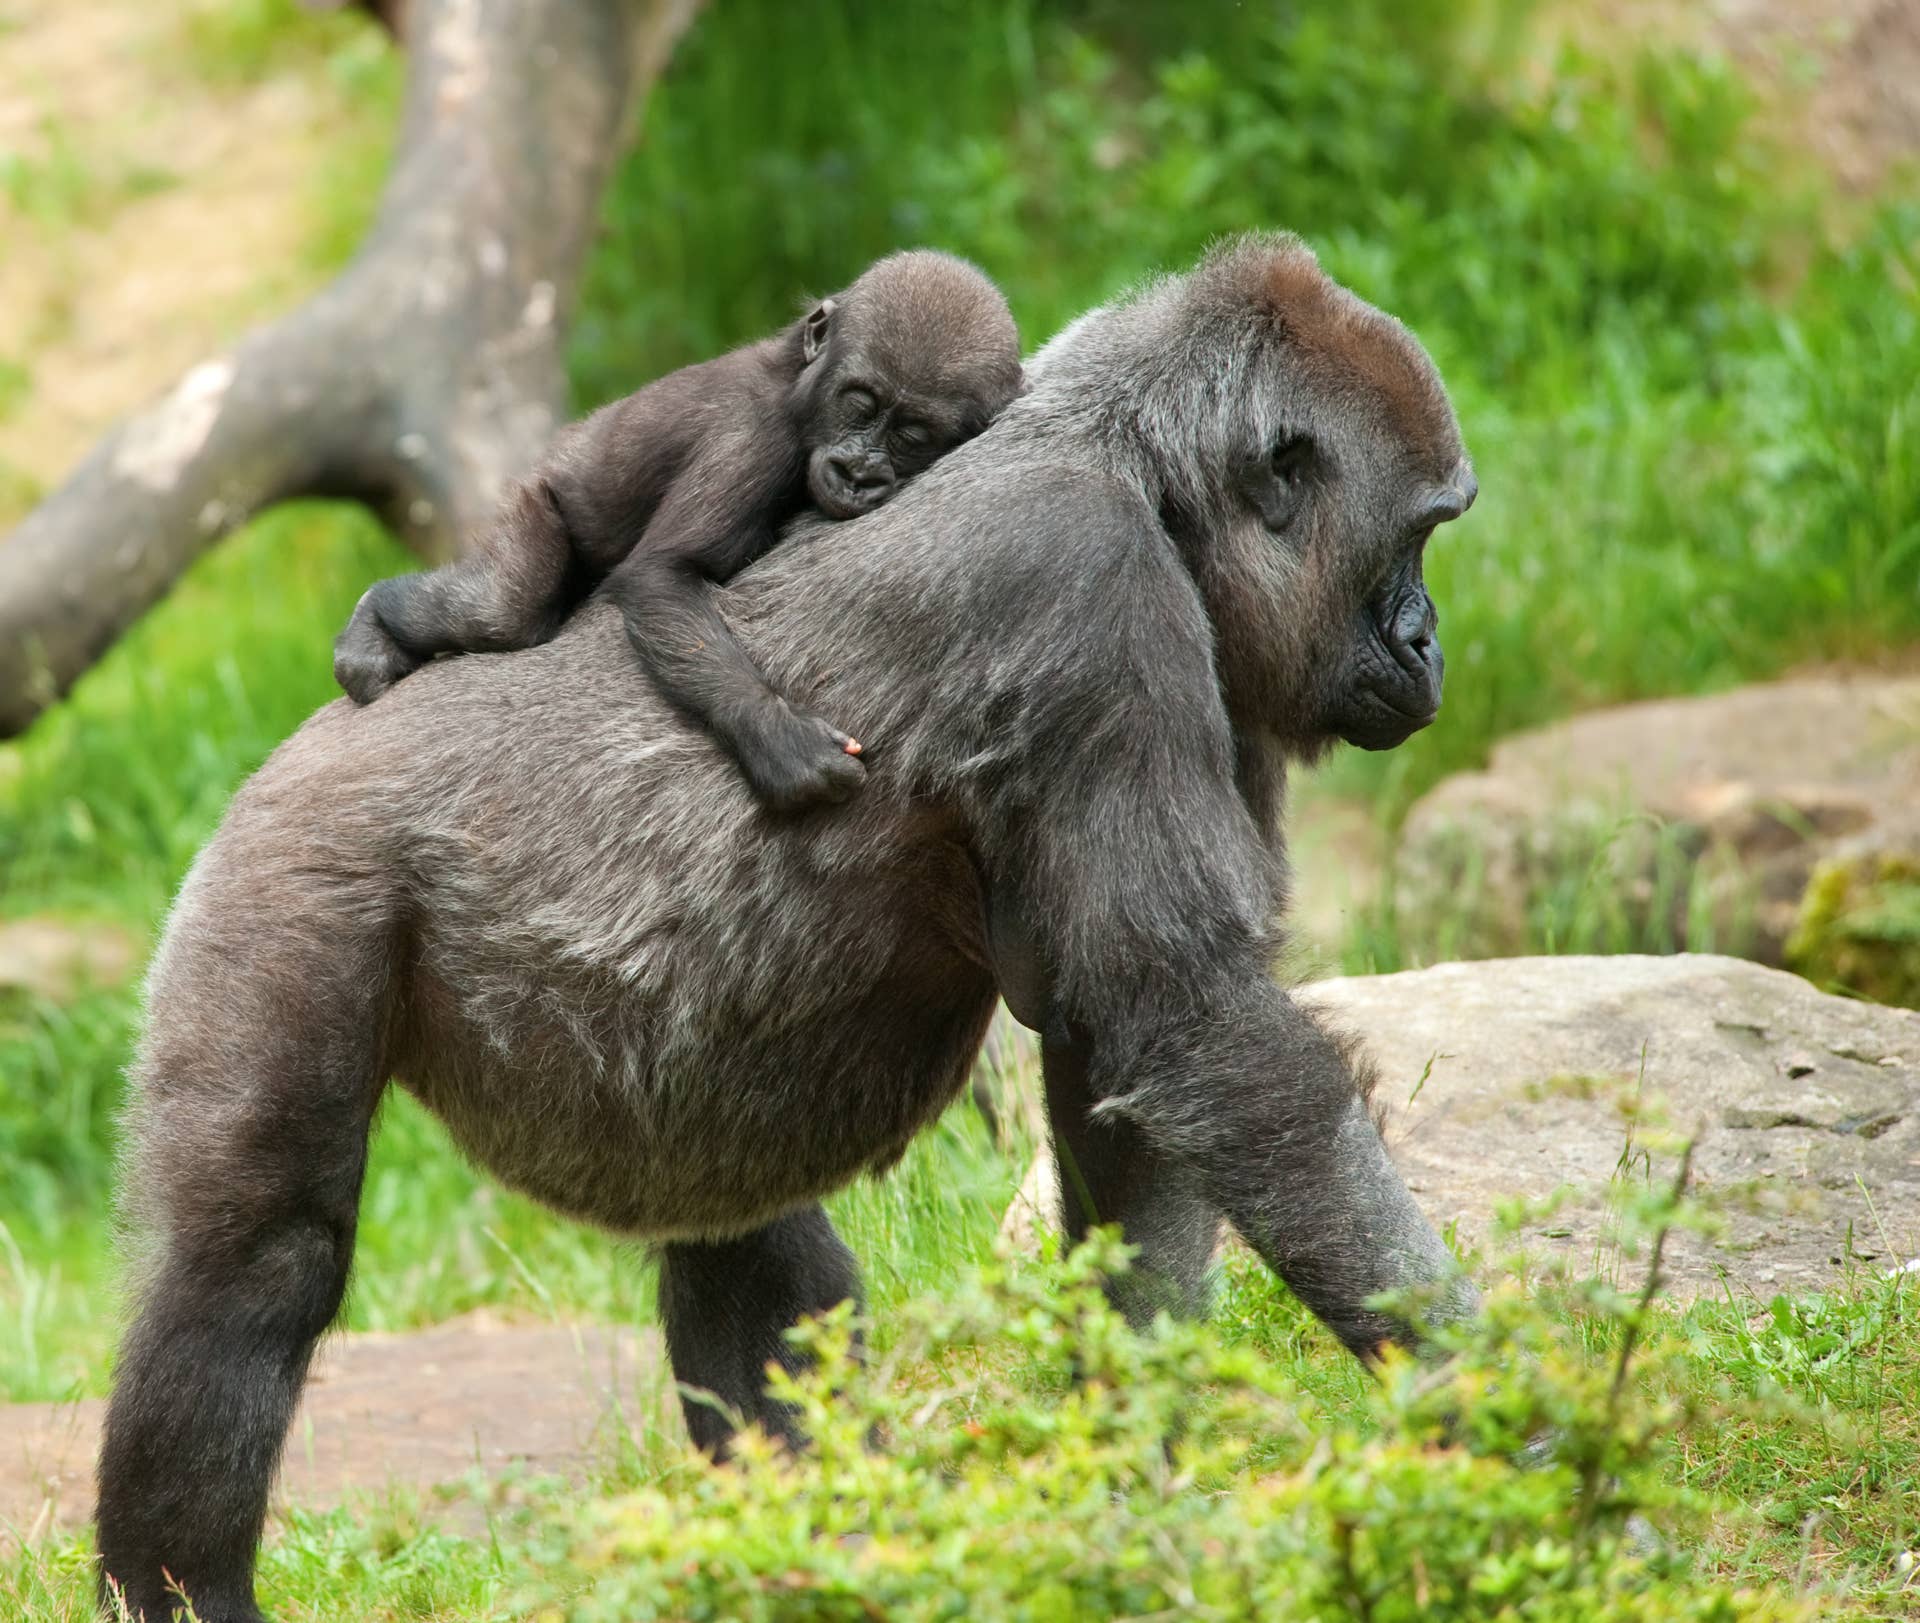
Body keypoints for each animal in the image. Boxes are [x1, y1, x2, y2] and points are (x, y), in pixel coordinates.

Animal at [331, 249, 1022, 812]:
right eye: (859, 402)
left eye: (912, 436)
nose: (856, 471)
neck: (801, 386)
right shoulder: (751, 437)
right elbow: (663, 575)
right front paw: (774, 733)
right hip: (540, 494)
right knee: (501, 610)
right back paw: (376, 619)